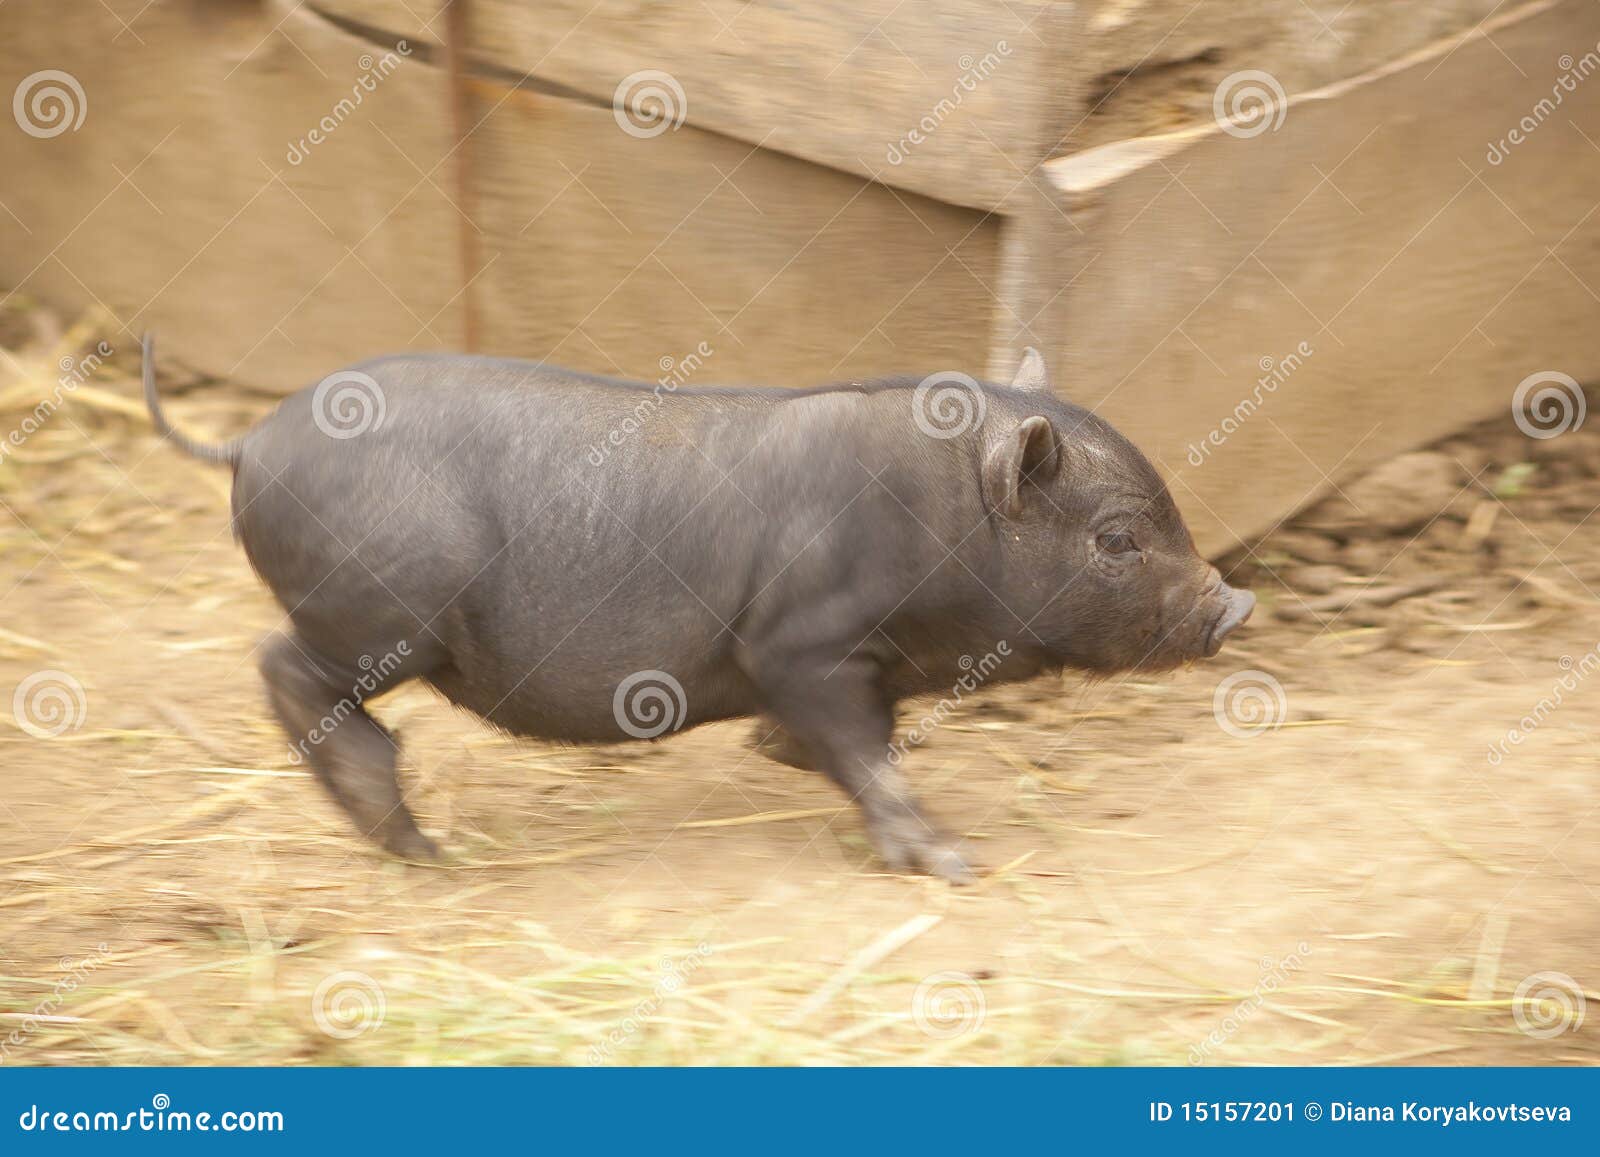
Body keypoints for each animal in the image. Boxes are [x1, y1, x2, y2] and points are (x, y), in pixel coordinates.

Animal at [143, 337, 1253, 882]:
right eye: (1118, 539)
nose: (1234, 602)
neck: (939, 518)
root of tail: (250, 442)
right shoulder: (798, 642)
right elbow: (865, 751)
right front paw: (951, 862)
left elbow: (858, 736)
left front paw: (776, 753)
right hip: (383, 614)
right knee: (280, 664)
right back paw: (420, 849)